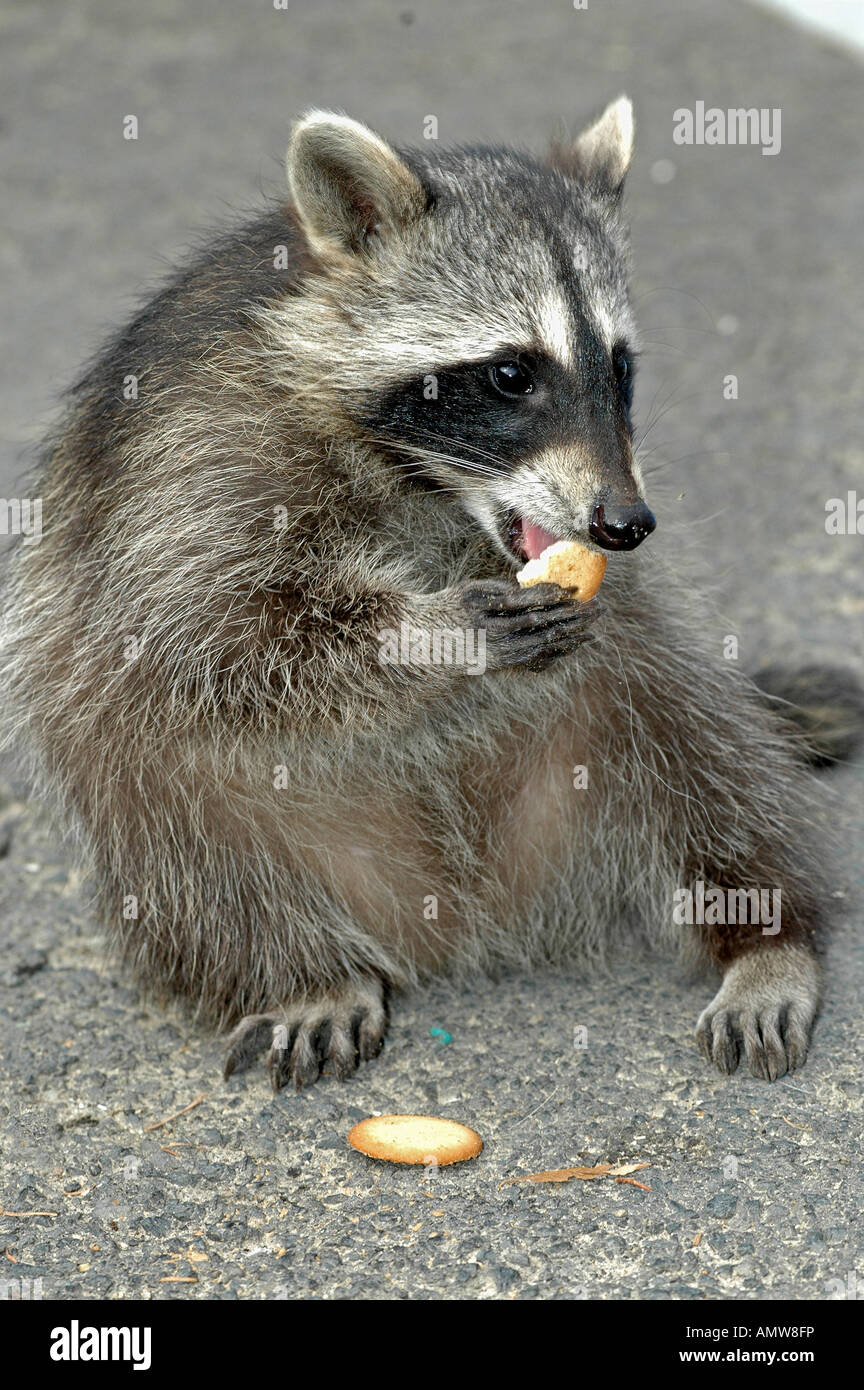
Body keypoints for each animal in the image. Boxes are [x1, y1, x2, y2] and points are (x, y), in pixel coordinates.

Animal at [2, 98, 860, 1092]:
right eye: (511, 373)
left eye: (619, 368)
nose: (626, 524)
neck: (428, 486)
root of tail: (459, 910)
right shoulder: (194, 468)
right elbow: (217, 630)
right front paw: (429, 636)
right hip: (146, 791)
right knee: (179, 835)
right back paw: (302, 970)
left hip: (612, 720)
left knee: (695, 740)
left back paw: (767, 931)